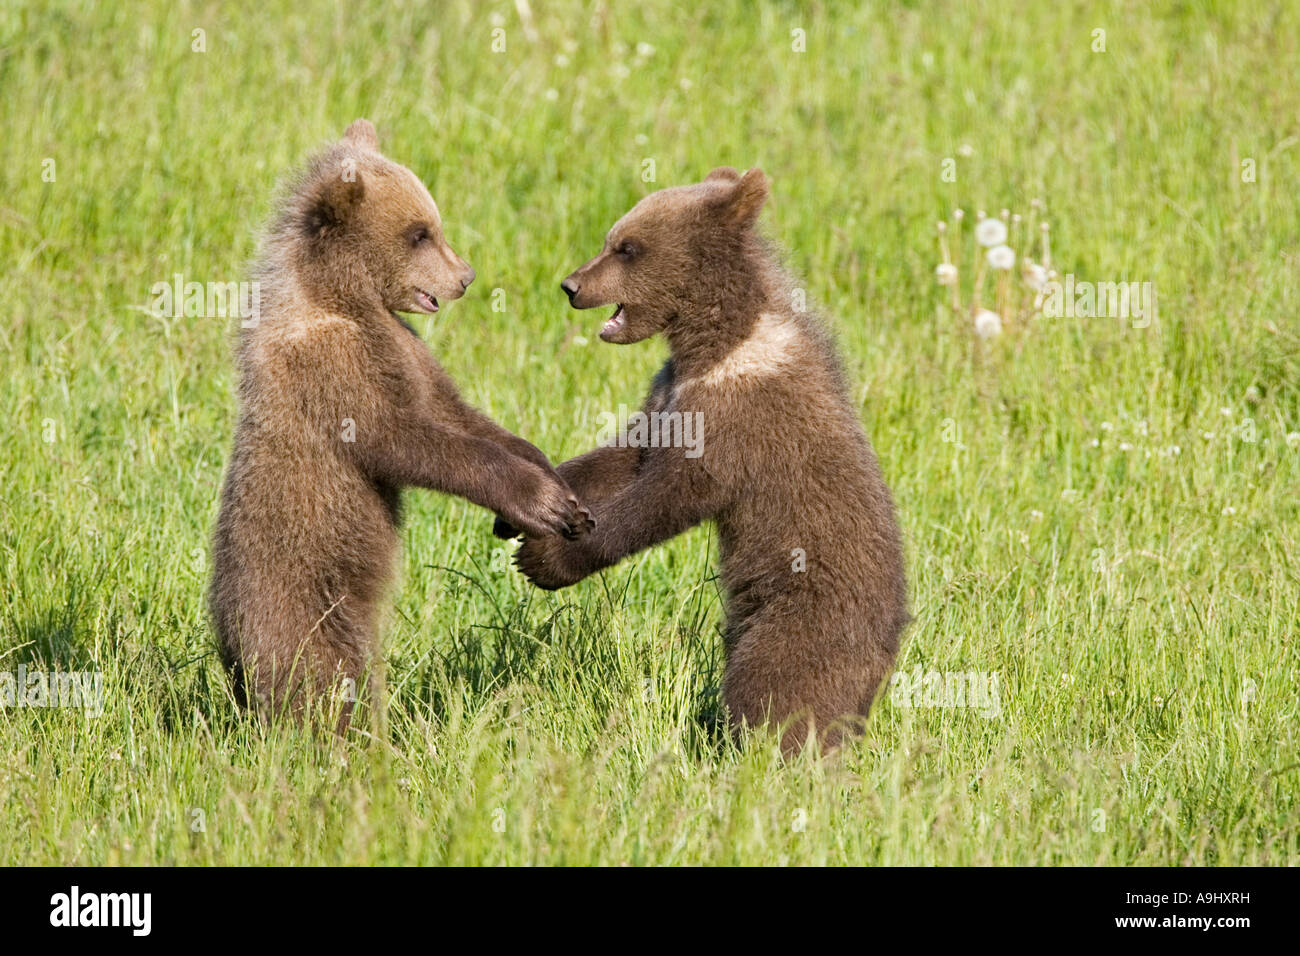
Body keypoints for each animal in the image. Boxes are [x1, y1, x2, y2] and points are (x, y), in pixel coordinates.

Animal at [210, 119, 590, 728]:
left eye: (432, 223)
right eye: (418, 233)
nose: (465, 276)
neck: (347, 301)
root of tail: (229, 655)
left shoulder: (407, 353)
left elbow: (456, 411)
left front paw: (551, 488)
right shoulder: (330, 367)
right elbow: (405, 440)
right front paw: (539, 500)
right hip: (302, 600)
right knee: (321, 683)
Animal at [505, 167, 908, 754]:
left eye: (628, 247)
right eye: (611, 239)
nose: (572, 285)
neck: (715, 346)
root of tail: (887, 653)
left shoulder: (737, 420)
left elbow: (665, 498)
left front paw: (546, 559)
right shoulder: (672, 394)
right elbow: (625, 455)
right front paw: (524, 504)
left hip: (802, 618)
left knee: (775, 690)